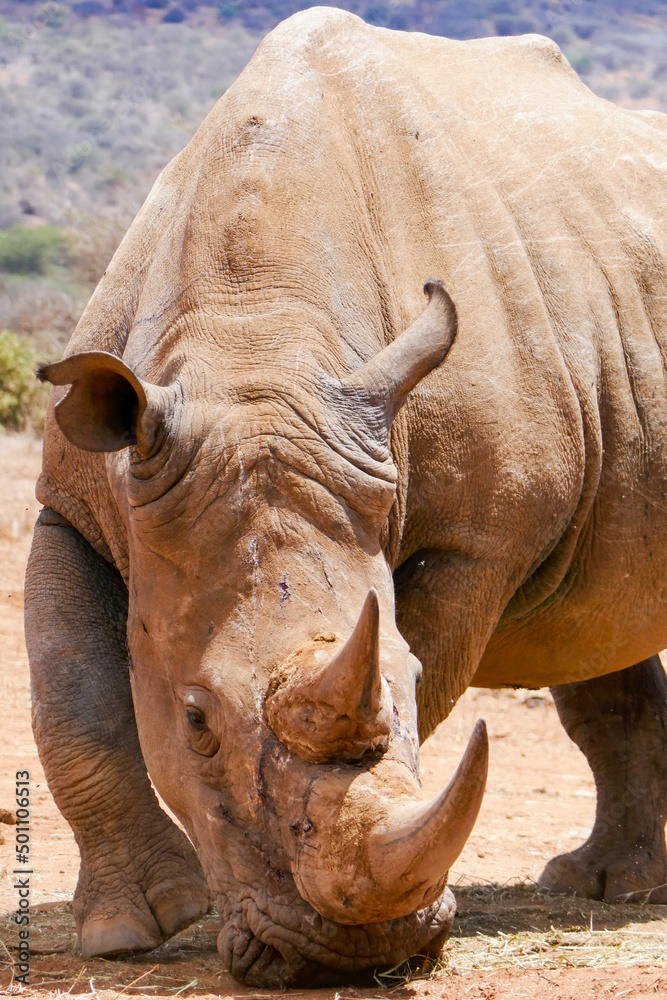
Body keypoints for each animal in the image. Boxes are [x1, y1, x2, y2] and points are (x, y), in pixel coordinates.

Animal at [26, 6, 667, 988]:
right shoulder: (77, 500)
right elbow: (73, 704)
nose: (349, 958)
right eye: (195, 721)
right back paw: (604, 886)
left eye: (407, 676)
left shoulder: (474, 539)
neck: (253, 338)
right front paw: (133, 929)